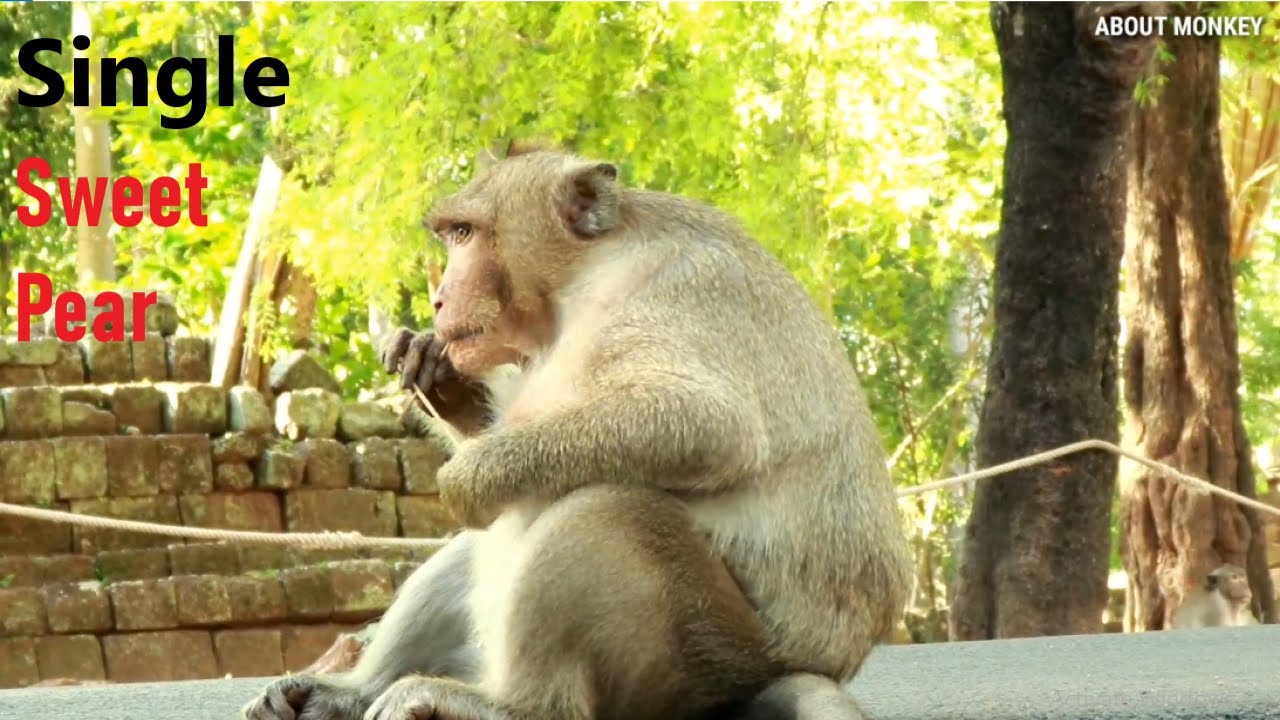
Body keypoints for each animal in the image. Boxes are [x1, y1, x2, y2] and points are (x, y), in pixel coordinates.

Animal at [242, 148, 911, 720]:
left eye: (465, 234)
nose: (439, 300)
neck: (580, 278)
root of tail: (796, 668)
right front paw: (440, 377)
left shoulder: (668, 291)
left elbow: (708, 424)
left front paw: (469, 477)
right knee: (483, 544)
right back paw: (348, 692)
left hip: (706, 657)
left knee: (602, 511)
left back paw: (514, 705)